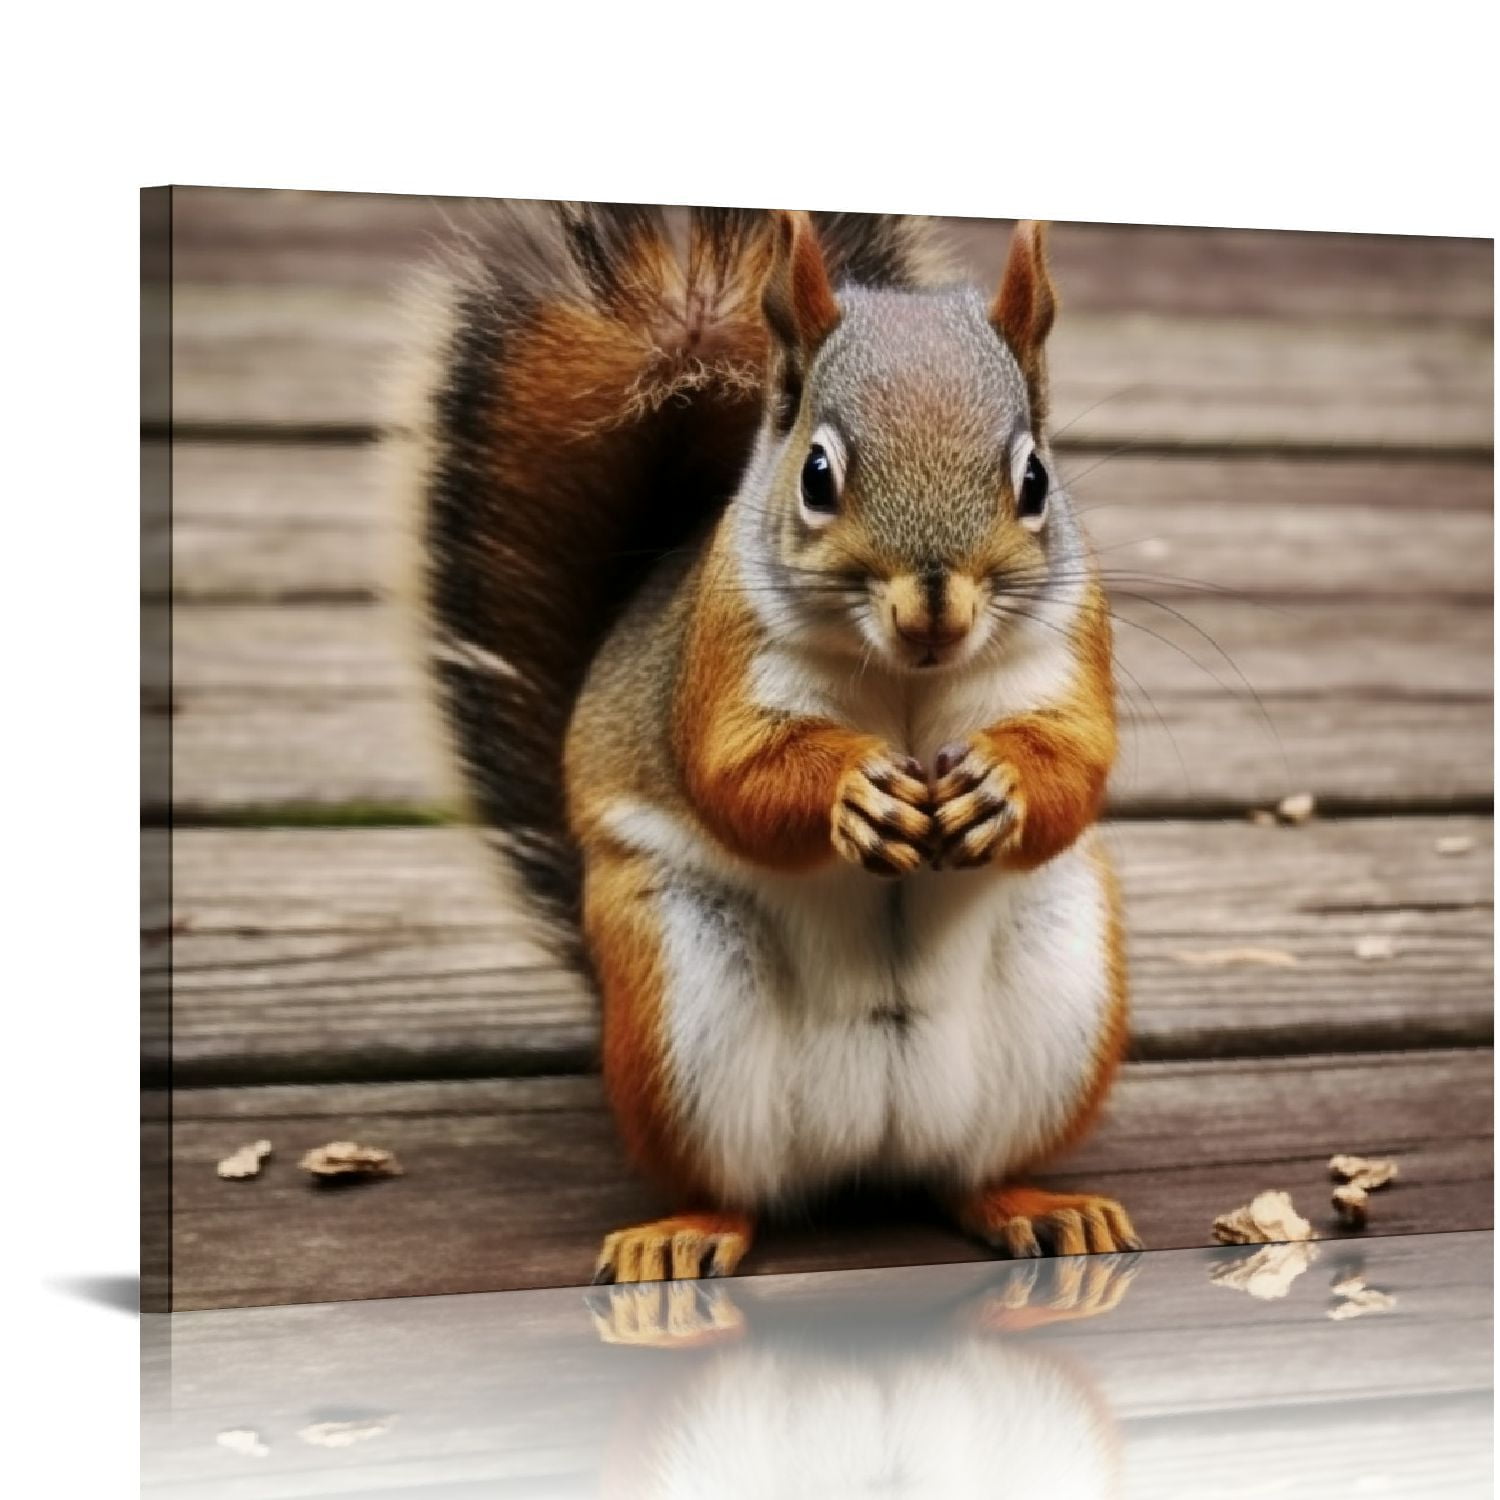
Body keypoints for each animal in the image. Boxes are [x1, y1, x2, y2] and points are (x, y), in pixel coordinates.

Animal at [401, 203, 1139, 1284]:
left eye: (1035, 478)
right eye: (819, 474)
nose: (935, 612)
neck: (906, 678)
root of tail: (871, 1148)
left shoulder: (1068, 651)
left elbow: (1078, 762)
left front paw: (1000, 783)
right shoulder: (721, 660)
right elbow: (734, 774)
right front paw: (853, 792)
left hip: (1061, 995)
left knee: (968, 1174)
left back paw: (1033, 1205)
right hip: (680, 1005)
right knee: (738, 1187)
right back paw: (687, 1233)